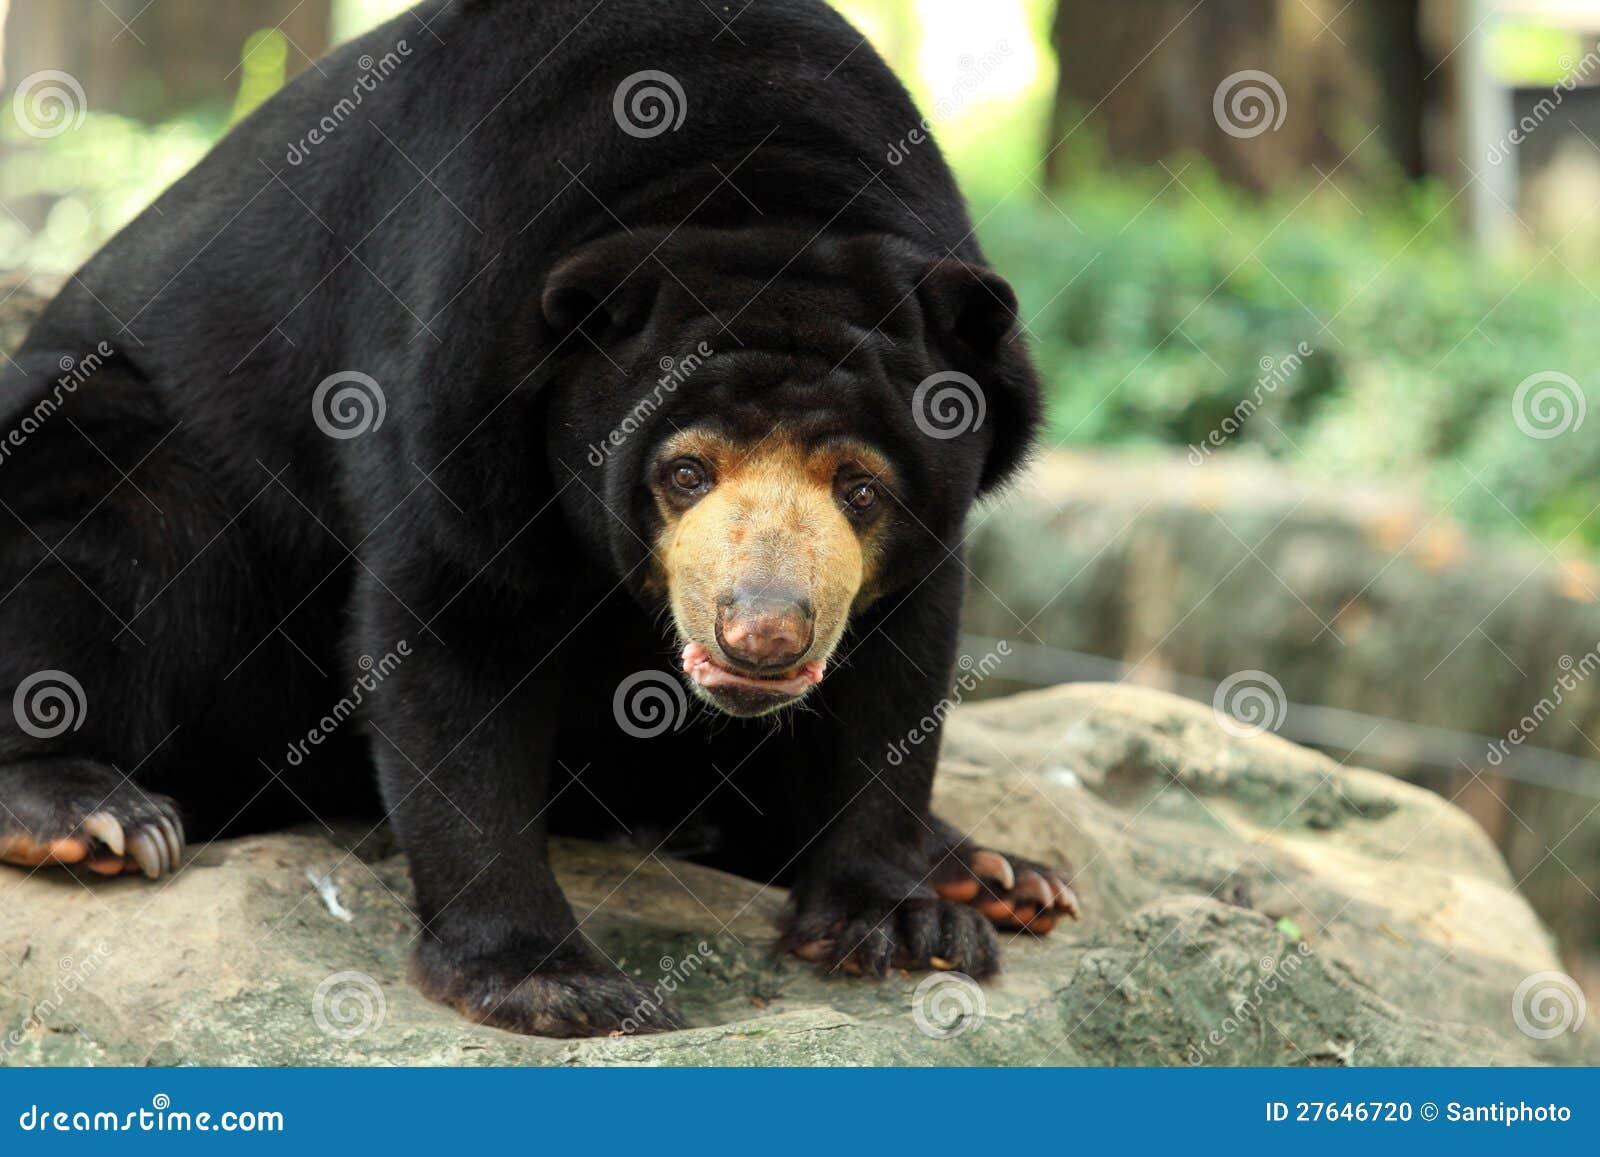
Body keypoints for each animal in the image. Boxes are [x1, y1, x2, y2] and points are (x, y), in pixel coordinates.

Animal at [0, 0, 1077, 1037]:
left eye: (860, 487)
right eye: (684, 471)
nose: (764, 634)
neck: (754, 186)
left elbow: (897, 665)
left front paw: (907, 921)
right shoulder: (459, 365)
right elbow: (459, 633)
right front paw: (557, 984)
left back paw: (995, 872)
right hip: (109, 438)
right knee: (110, 533)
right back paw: (89, 813)